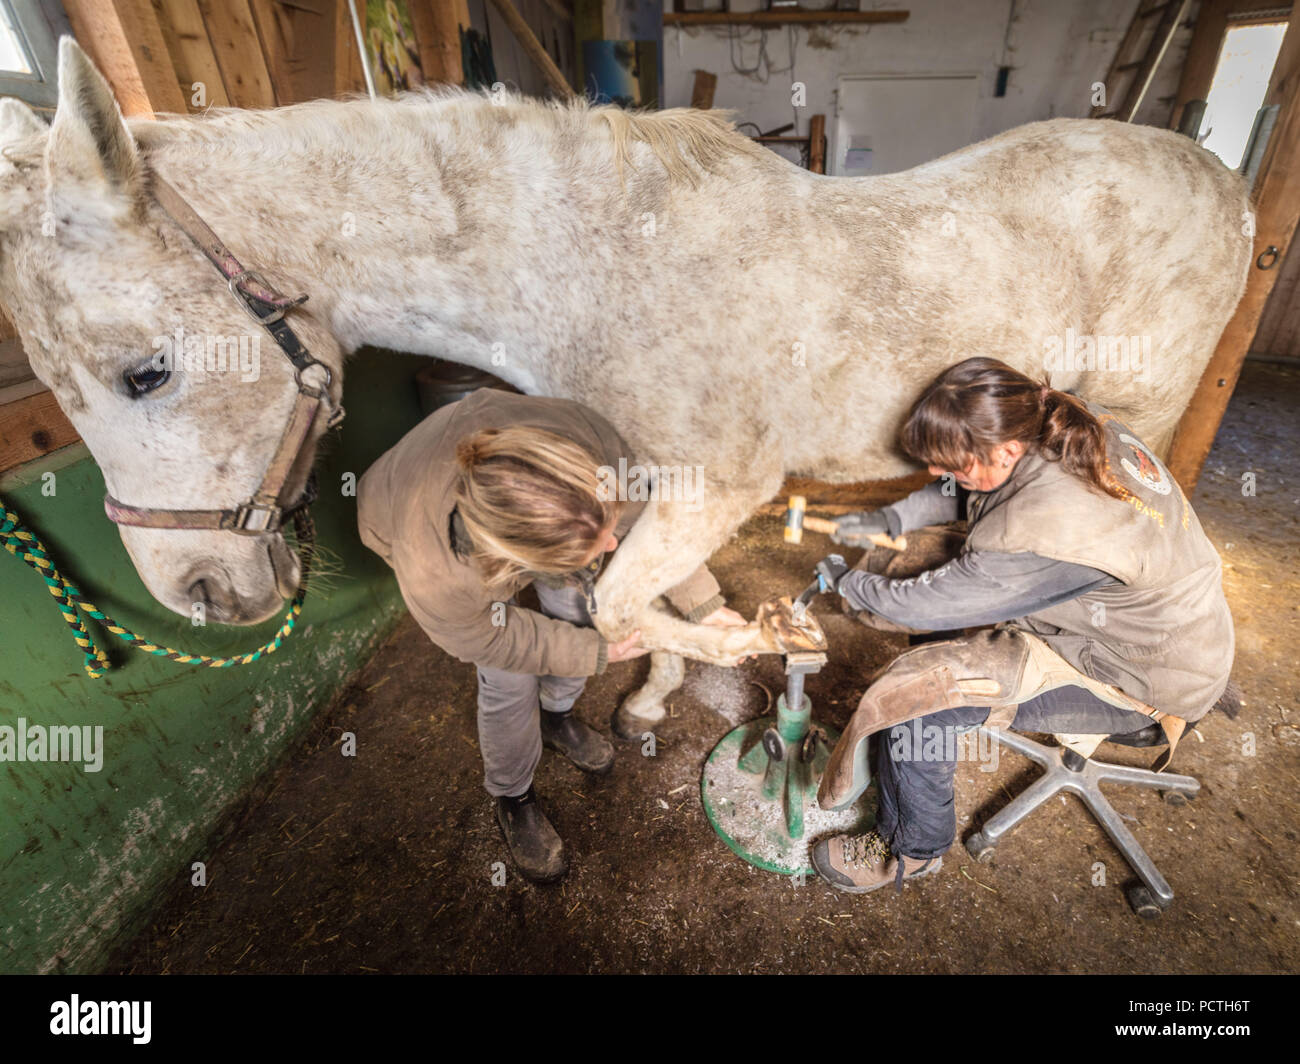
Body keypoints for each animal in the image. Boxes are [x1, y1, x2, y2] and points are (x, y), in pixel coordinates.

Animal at [0, 39, 1250, 726]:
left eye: (143, 371)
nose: (198, 592)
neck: (592, 265)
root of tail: (1220, 180)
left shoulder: (708, 487)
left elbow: (617, 603)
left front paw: (742, 647)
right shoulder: (645, 490)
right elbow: (653, 604)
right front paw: (676, 682)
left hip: (1121, 425)